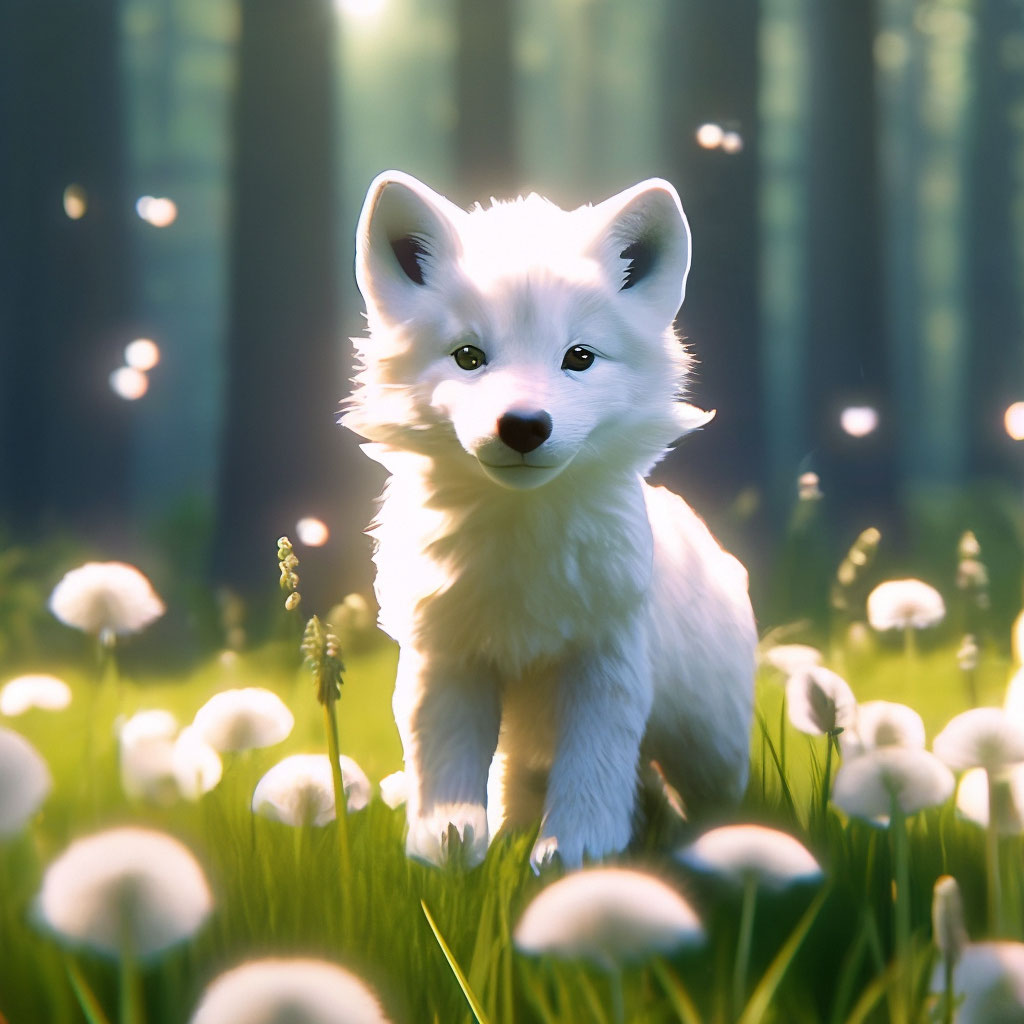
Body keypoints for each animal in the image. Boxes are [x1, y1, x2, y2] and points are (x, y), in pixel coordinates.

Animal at [345, 171, 757, 871]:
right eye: (468, 356)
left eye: (579, 357)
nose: (524, 426)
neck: (521, 548)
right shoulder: (447, 663)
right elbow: (445, 782)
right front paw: (449, 859)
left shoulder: (603, 669)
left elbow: (592, 779)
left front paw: (575, 861)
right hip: (525, 743)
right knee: (517, 789)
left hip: (710, 749)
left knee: (708, 802)